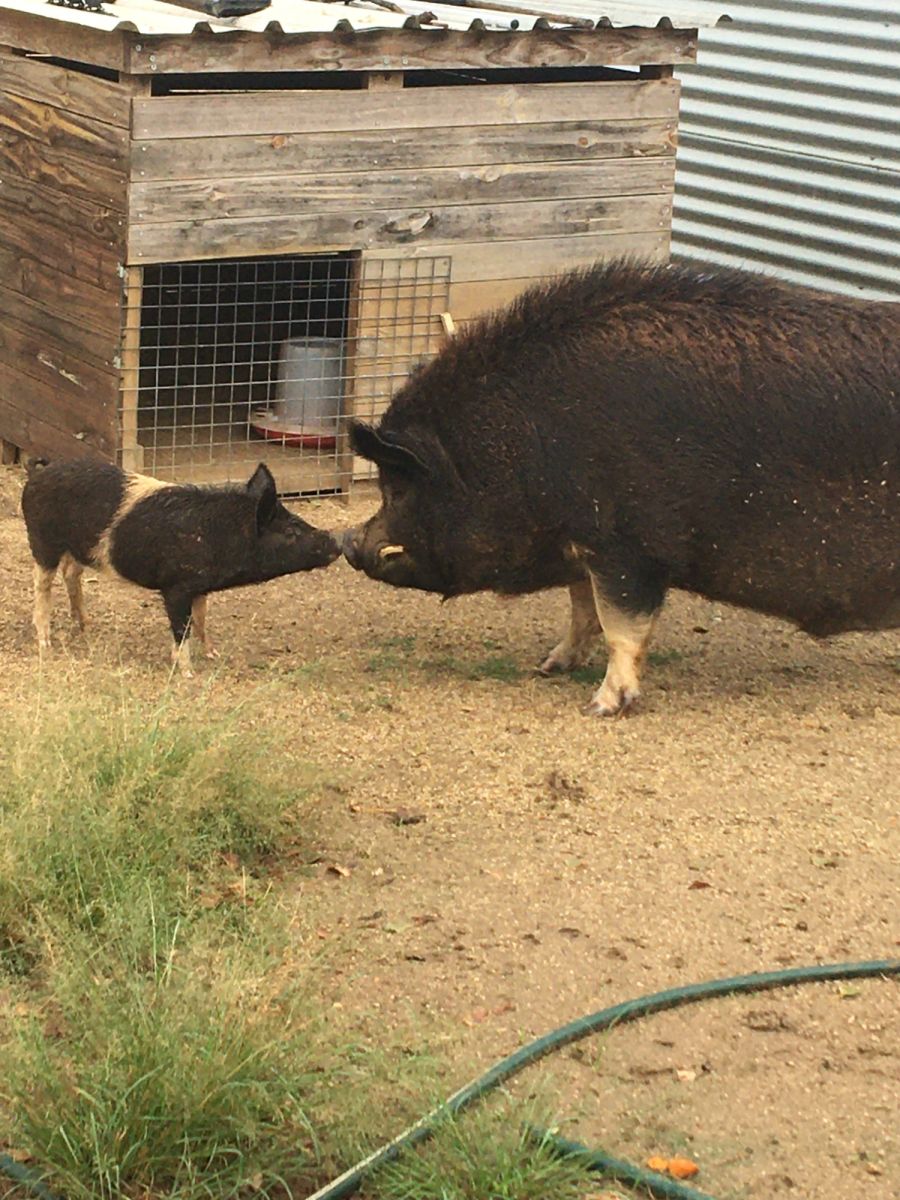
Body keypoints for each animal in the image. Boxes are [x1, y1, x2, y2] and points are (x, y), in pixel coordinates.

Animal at [22, 459, 340, 672]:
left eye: (298, 520)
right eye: (291, 532)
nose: (335, 541)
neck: (222, 535)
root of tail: (38, 472)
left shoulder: (200, 586)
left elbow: (201, 618)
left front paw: (213, 654)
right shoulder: (176, 586)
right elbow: (181, 627)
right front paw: (187, 672)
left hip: (77, 549)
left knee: (71, 573)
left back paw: (85, 625)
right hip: (43, 540)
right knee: (41, 584)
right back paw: (45, 644)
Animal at [343, 260, 899, 715]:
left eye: (399, 488)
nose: (350, 541)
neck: (522, 438)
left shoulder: (630, 546)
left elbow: (621, 626)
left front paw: (602, 707)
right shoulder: (582, 544)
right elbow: (582, 611)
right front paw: (547, 666)